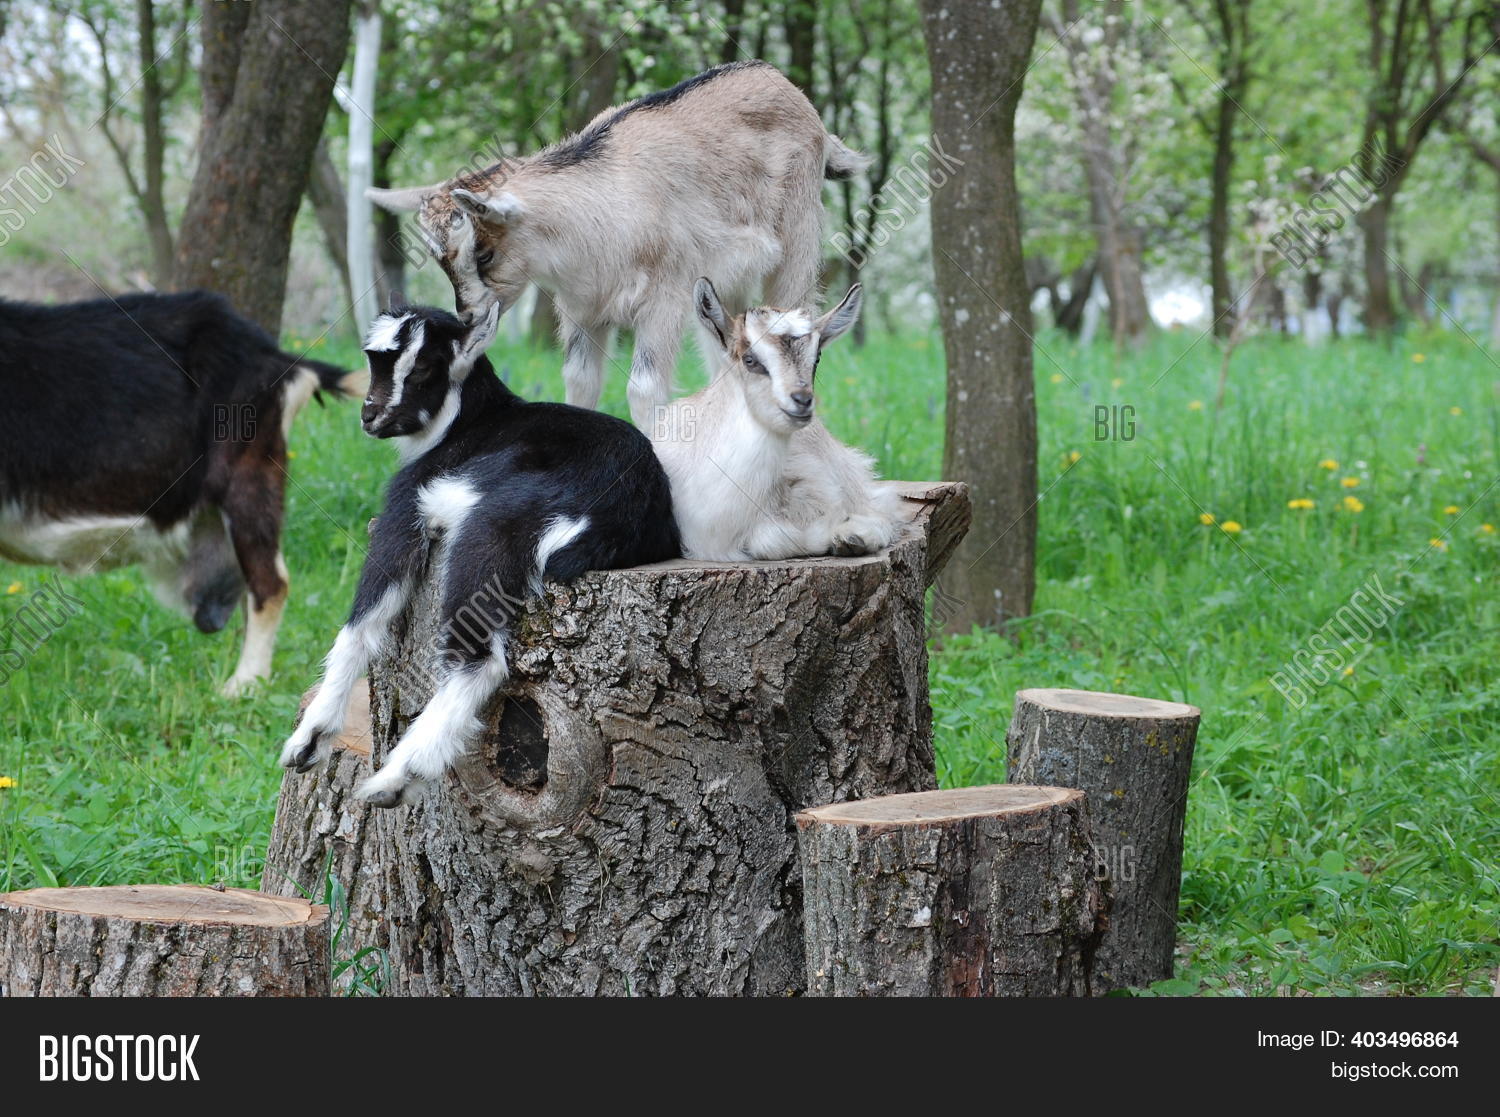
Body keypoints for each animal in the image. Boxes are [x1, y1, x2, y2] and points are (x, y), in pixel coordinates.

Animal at [279, 301, 680, 806]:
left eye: (424, 366)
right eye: (373, 359)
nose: (370, 416)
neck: (468, 425)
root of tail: (624, 510)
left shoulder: (409, 502)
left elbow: (362, 621)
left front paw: (308, 740)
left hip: (492, 528)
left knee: (480, 656)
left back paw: (398, 778)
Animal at [369, 60, 868, 428]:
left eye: (485, 253)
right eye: (441, 262)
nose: (469, 316)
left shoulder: (665, 298)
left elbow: (644, 390)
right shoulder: (582, 308)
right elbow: (579, 381)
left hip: (798, 242)